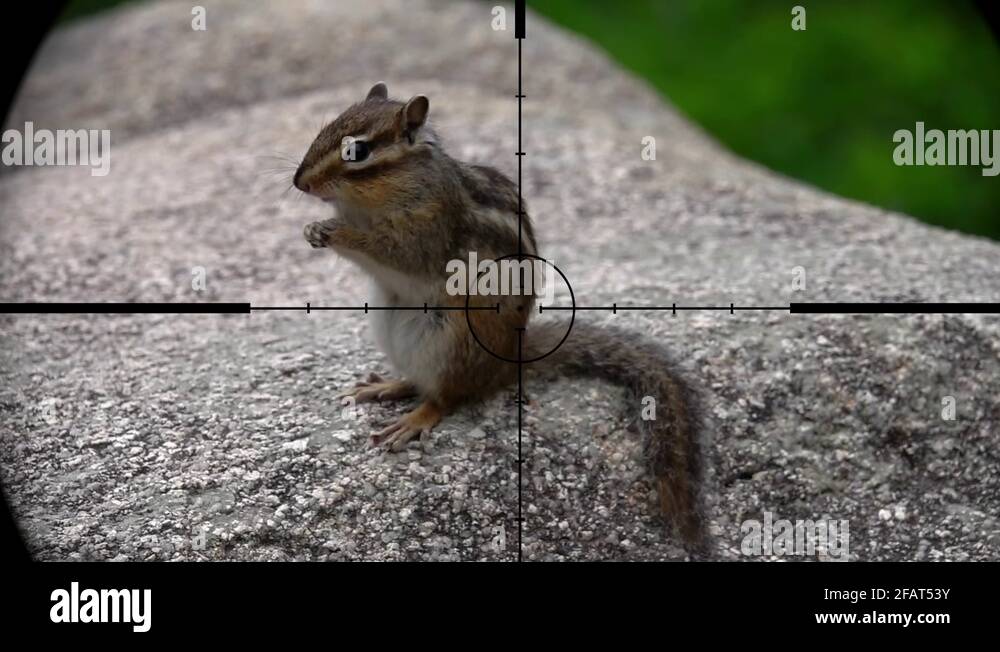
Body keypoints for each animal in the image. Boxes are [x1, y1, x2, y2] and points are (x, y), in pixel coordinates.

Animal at [294, 82, 707, 549]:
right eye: (324, 130)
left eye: (358, 151)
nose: (299, 182)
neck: (382, 194)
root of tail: (510, 359)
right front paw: (313, 229)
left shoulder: (429, 229)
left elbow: (393, 250)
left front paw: (333, 231)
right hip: (389, 321)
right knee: (420, 380)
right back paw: (387, 386)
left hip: (452, 338)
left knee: (447, 397)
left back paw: (415, 419)